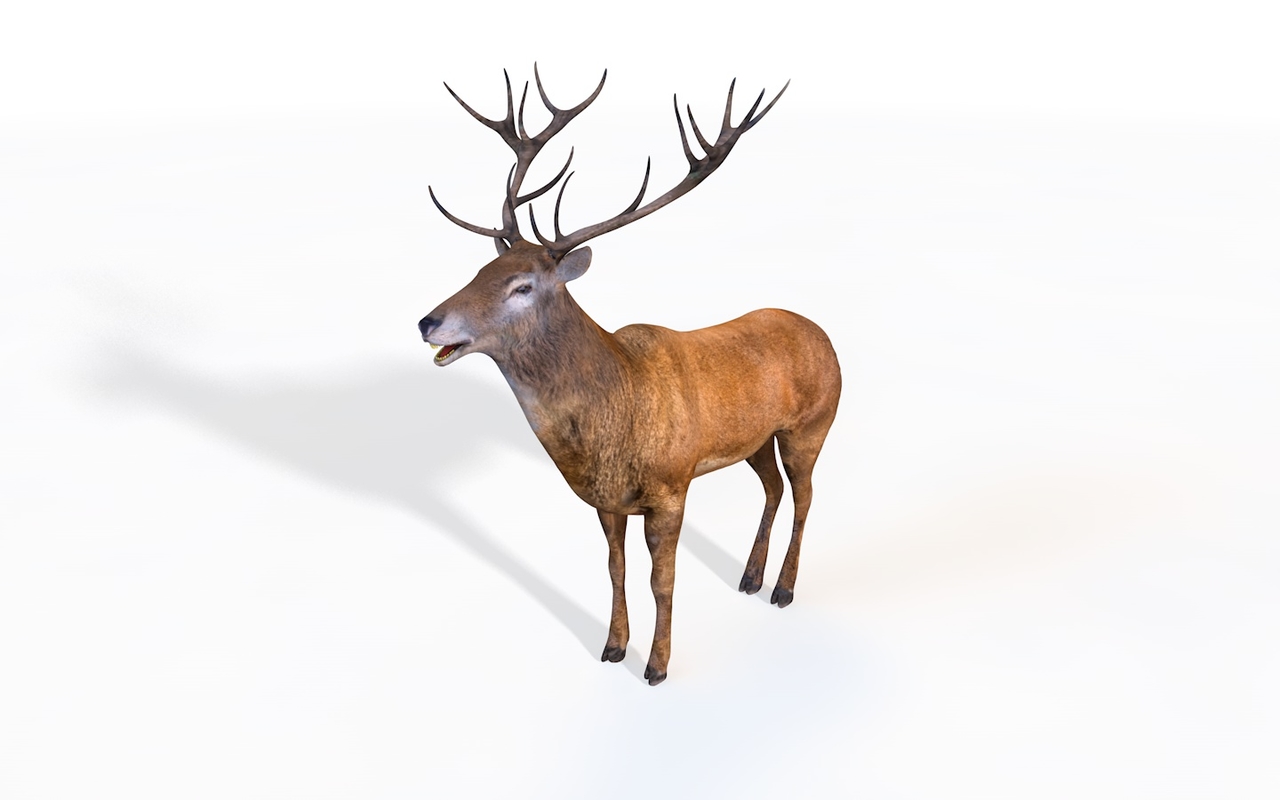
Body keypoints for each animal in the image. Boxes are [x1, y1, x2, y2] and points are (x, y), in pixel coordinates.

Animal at [417, 67, 841, 685]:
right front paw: (614, 647)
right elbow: (614, 568)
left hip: (812, 424)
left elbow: (661, 581)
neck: (611, 427)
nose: (428, 321)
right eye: (480, 269)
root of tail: (825, 333)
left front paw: (657, 666)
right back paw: (749, 577)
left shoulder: (670, 486)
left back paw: (783, 589)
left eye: (522, 285)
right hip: (756, 438)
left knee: (807, 495)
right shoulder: (607, 501)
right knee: (774, 487)